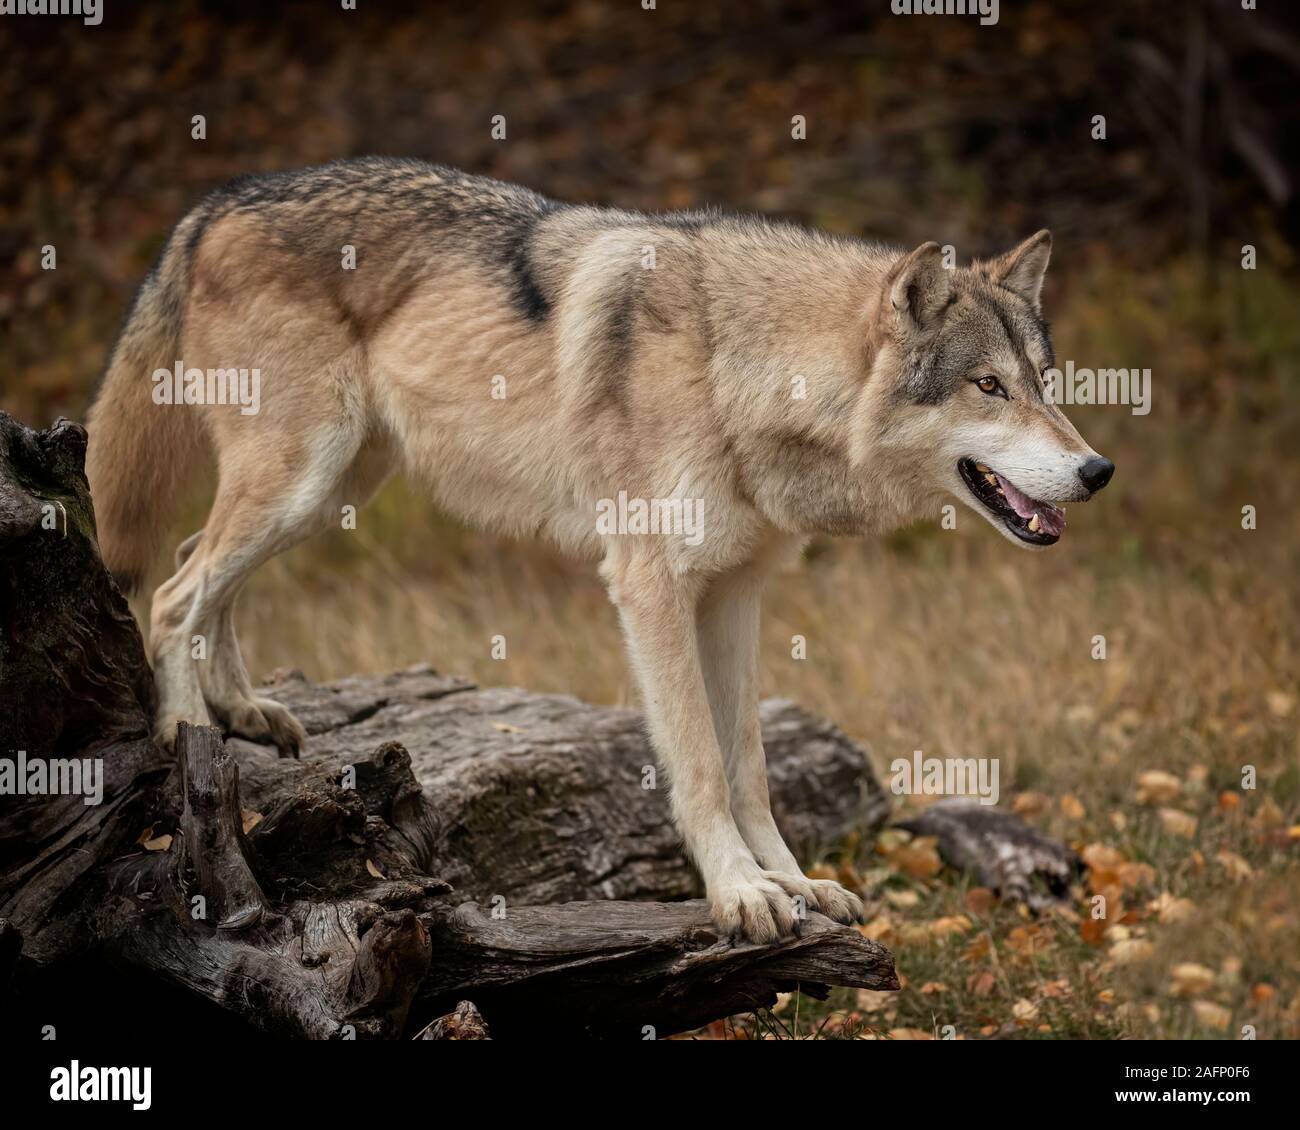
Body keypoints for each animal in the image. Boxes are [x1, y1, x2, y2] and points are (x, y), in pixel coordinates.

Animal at [86, 158, 1113, 943]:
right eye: (988, 386)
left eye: (1044, 381)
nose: (1098, 469)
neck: (735, 369)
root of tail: (213, 205)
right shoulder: (652, 587)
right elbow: (699, 764)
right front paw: (740, 893)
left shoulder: (736, 593)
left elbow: (749, 766)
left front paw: (793, 883)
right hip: (301, 480)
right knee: (173, 590)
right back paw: (189, 738)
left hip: (330, 489)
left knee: (197, 563)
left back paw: (243, 712)